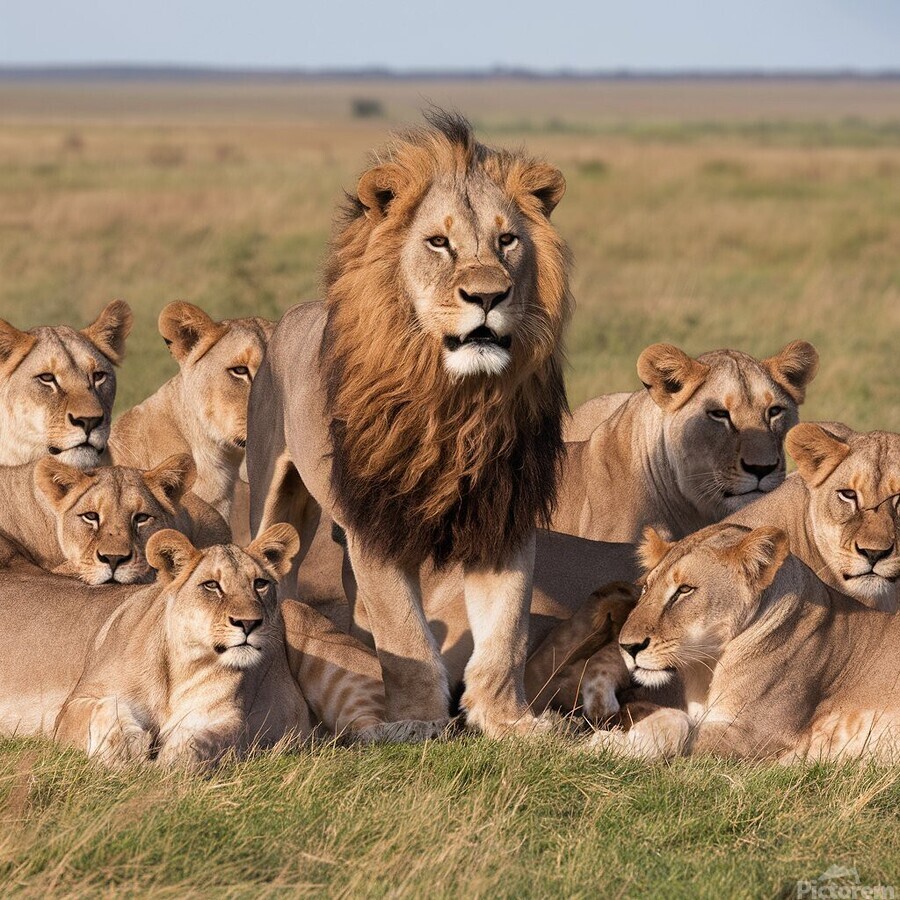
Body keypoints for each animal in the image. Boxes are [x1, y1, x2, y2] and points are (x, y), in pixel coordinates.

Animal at [247, 113, 572, 736]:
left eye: (507, 240)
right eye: (438, 243)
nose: (489, 296)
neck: (456, 402)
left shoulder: (505, 514)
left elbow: (507, 633)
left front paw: (507, 721)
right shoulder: (376, 524)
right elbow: (405, 635)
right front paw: (419, 722)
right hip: (271, 499)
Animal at [590, 523, 900, 763]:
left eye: (685, 590)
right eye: (646, 588)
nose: (627, 647)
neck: (707, 668)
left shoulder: (765, 737)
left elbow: (679, 724)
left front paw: (605, 744)